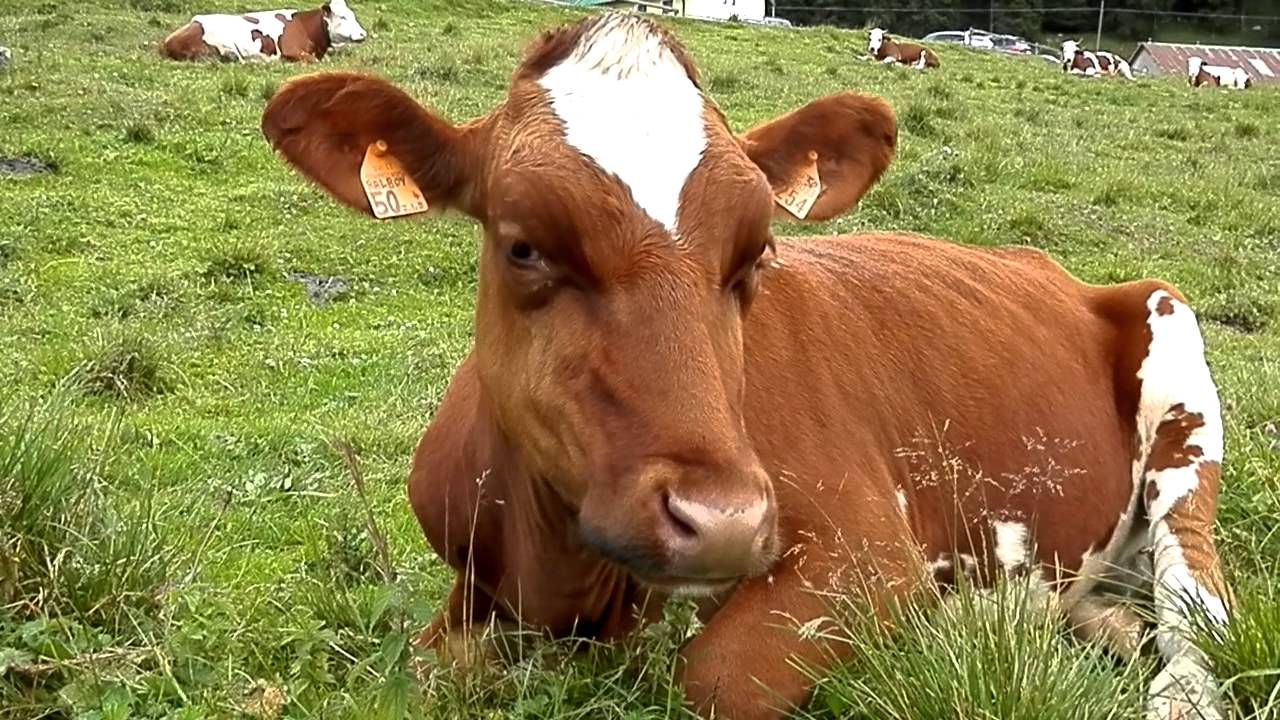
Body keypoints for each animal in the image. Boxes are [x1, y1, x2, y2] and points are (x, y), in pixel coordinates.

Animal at [260, 12, 1233, 720]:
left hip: (1183, 401)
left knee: (1196, 616)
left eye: (756, 253)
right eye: (523, 246)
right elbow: (427, 672)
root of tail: (1057, 270)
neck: (562, 575)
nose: (722, 521)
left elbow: (716, 677)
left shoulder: (870, 560)